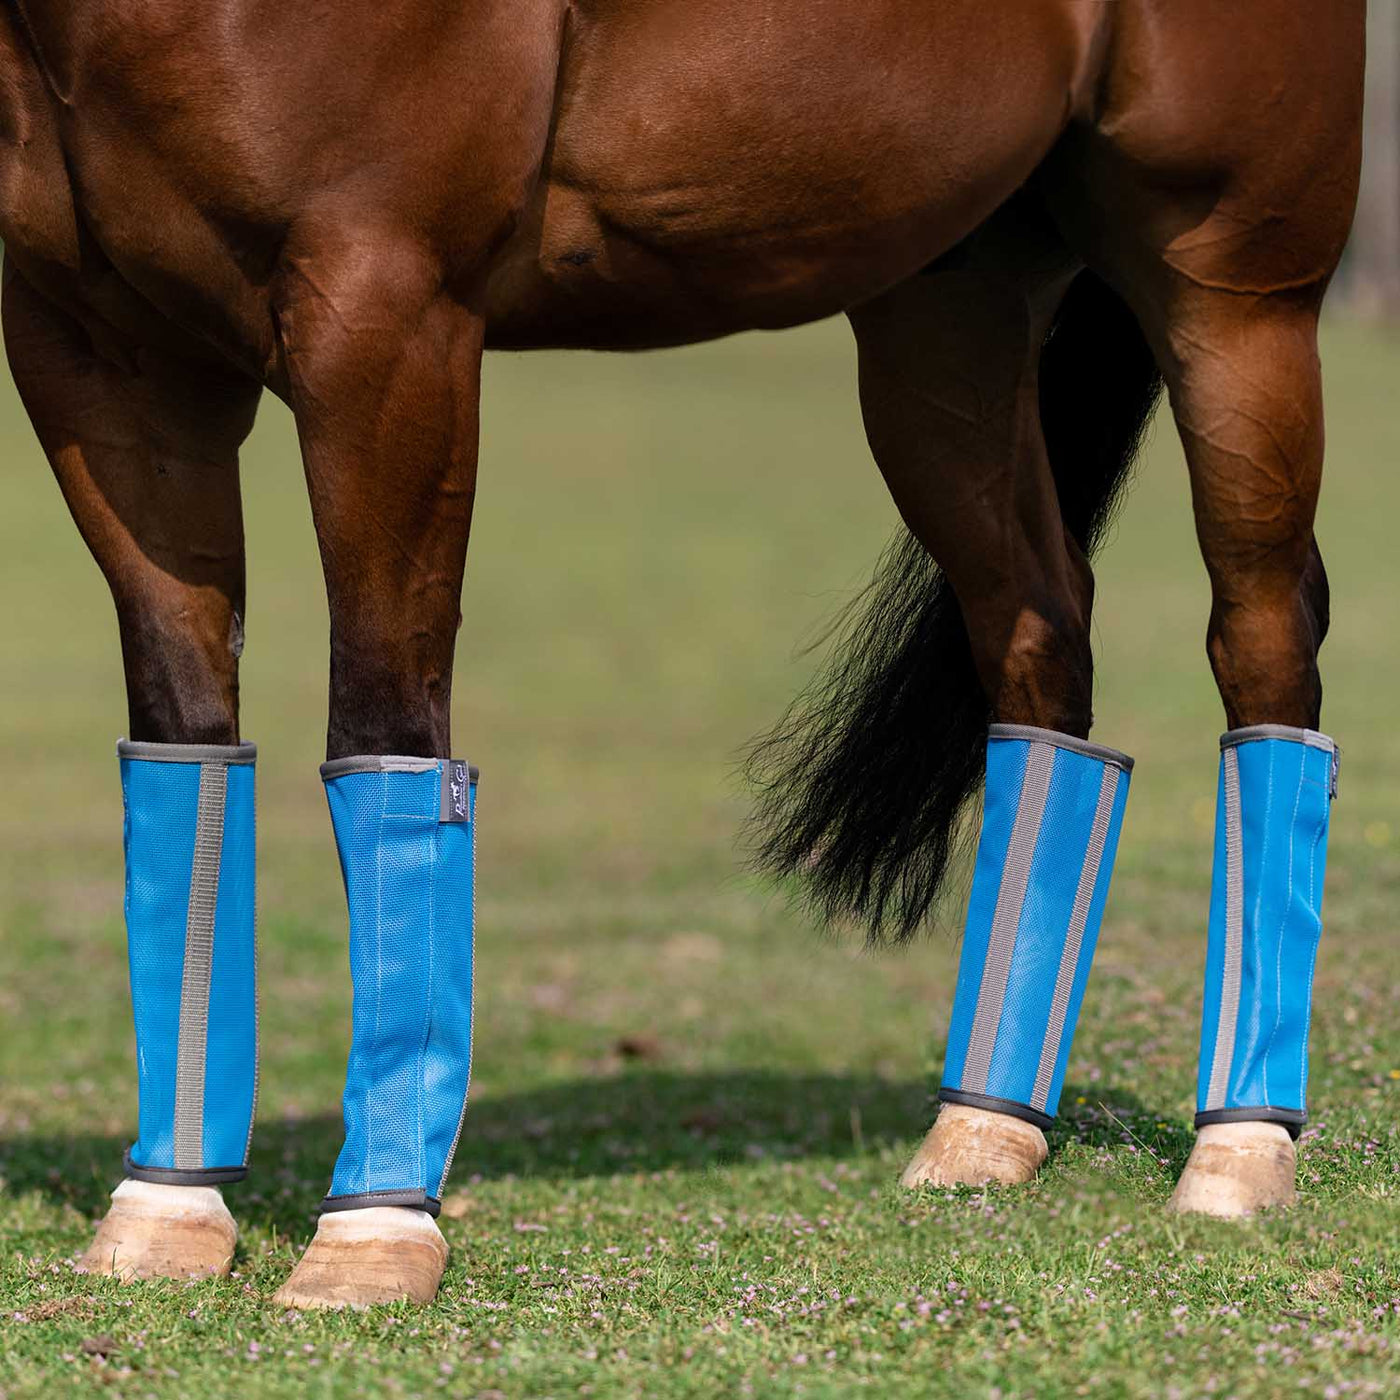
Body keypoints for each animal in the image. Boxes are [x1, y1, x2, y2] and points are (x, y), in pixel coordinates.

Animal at [0, 0, 1364, 1307]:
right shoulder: (99, 356)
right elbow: (185, 738)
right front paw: (165, 1212)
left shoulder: (383, 321)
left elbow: (387, 729)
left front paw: (373, 1235)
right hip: (944, 318)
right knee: (1039, 641)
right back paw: (984, 1129)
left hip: (1225, 289)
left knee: (1261, 645)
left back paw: (1238, 1146)